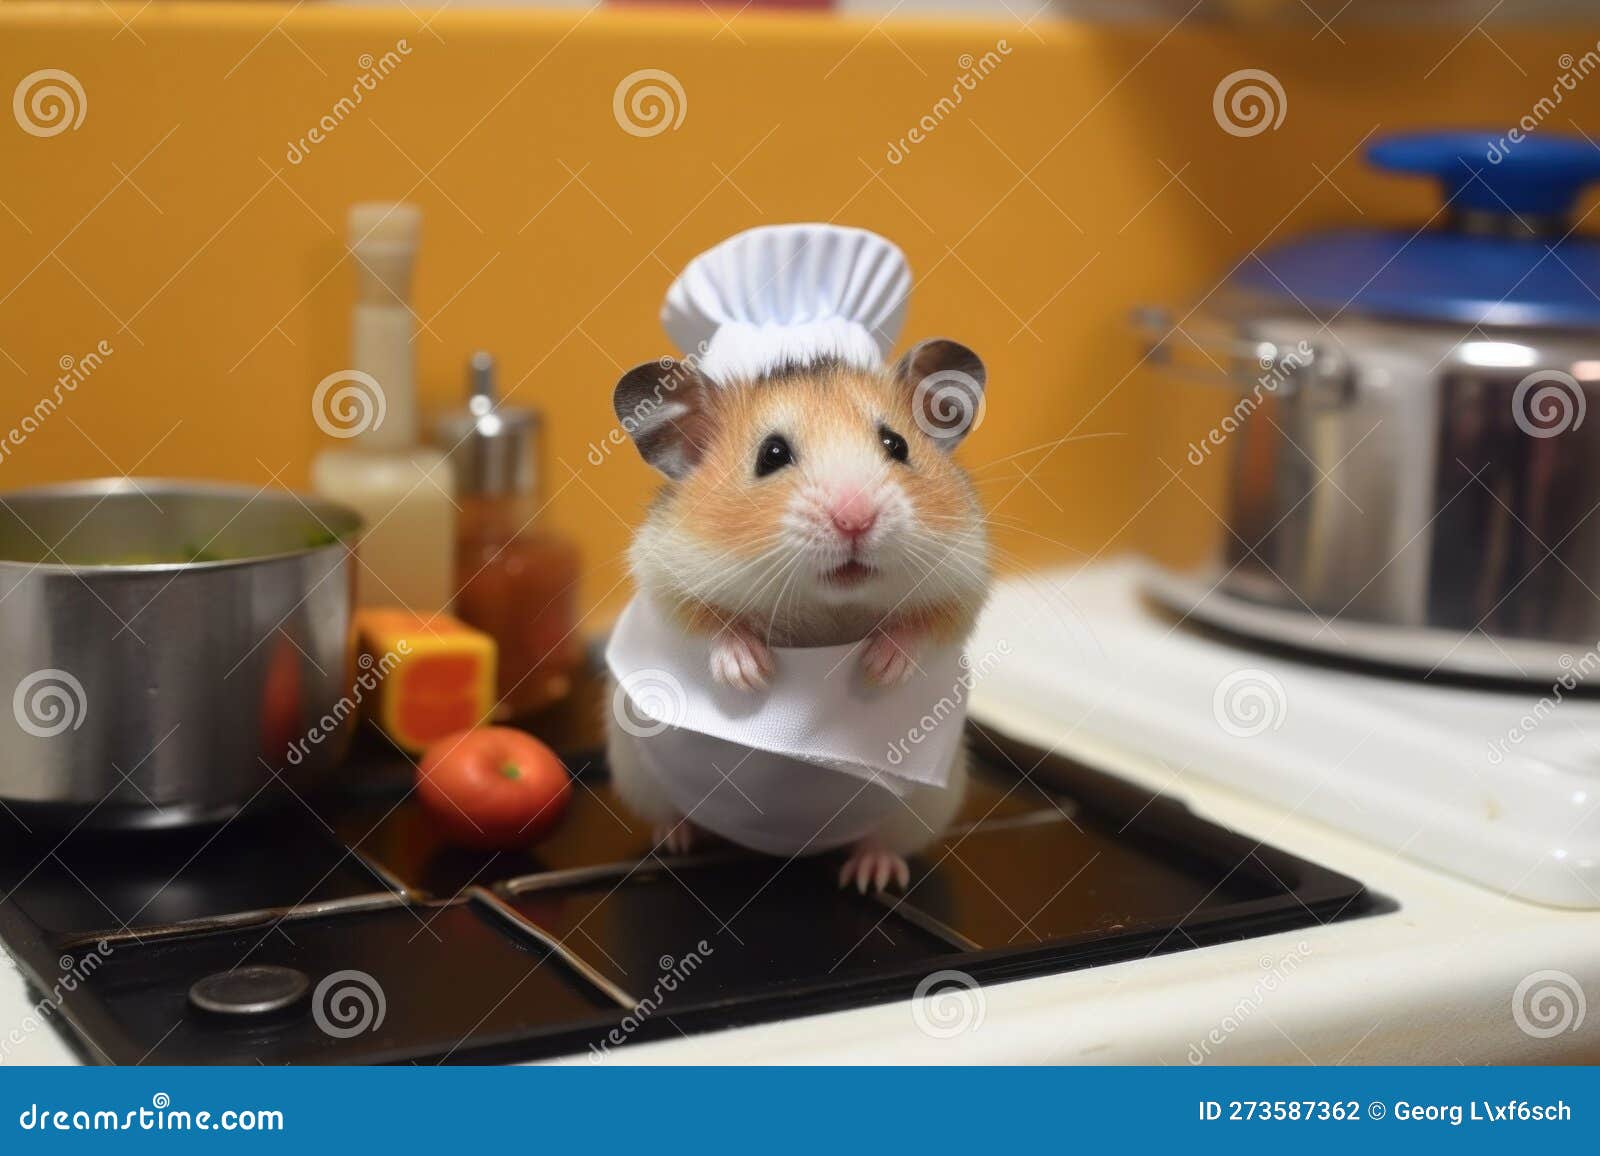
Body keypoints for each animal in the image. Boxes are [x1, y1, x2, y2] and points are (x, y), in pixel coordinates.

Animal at [605, 340, 991, 891]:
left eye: (896, 445)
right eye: (771, 455)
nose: (856, 519)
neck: (825, 606)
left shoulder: (965, 579)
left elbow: (924, 626)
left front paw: (880, 670)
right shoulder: (662, 575)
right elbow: (708, 624)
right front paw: (751, 674)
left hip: (921, 809)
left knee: (881, 842)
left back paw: (872, 877)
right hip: (639, 775)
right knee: (672, 814)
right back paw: (674, 841)